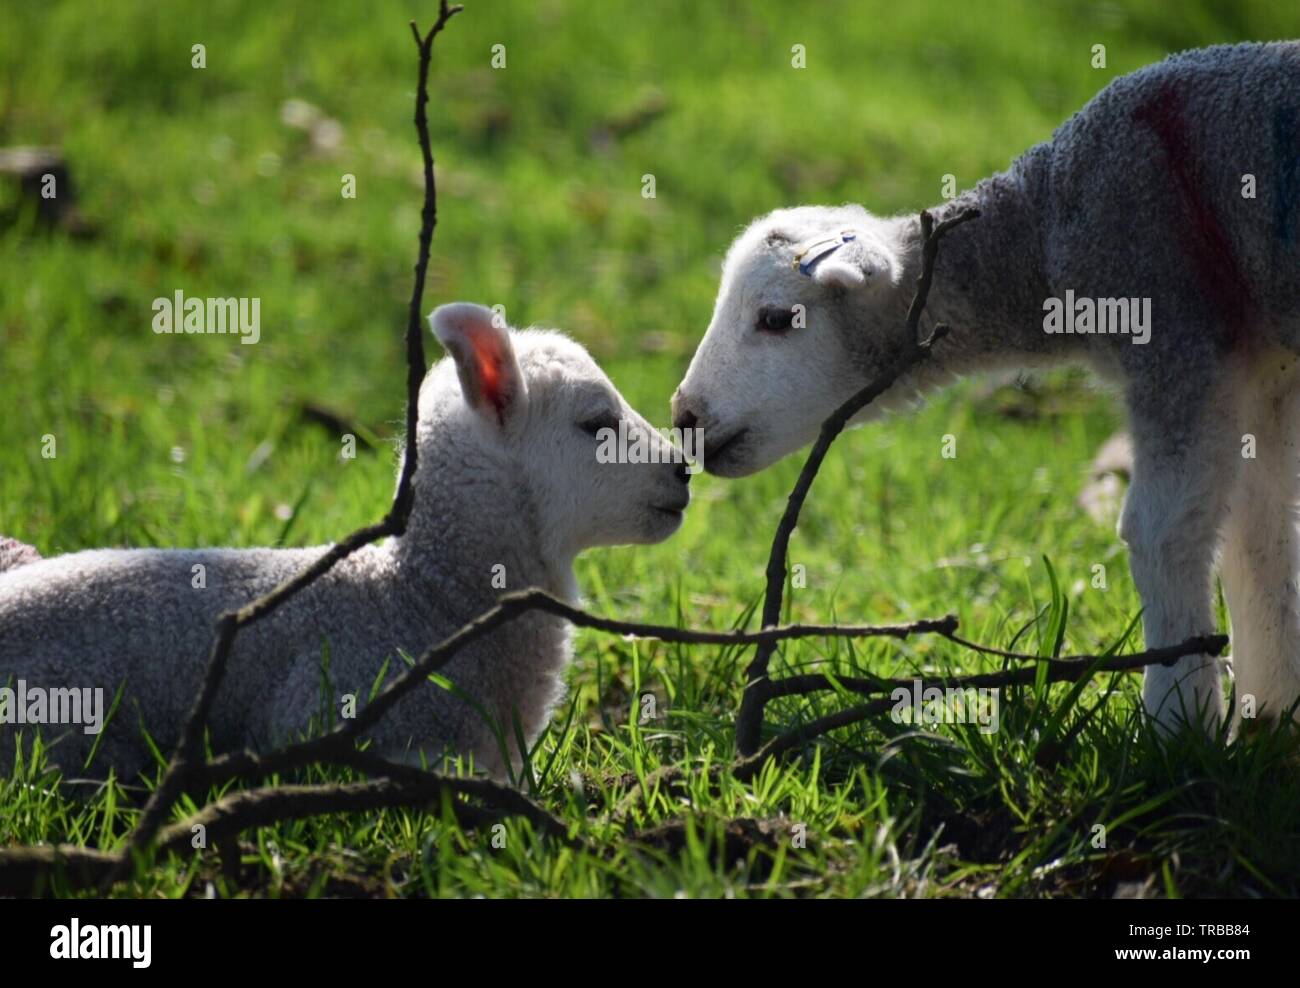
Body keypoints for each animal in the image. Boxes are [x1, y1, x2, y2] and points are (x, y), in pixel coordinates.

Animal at [672, 42, 1300, 735]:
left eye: (778, 320)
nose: (684, 417)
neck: (1040, 242)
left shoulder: (1171, 325)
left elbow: (1164, 529)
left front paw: (1178, 729)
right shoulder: (1260, 364)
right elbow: (1260, 532)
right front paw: (1271, 714)